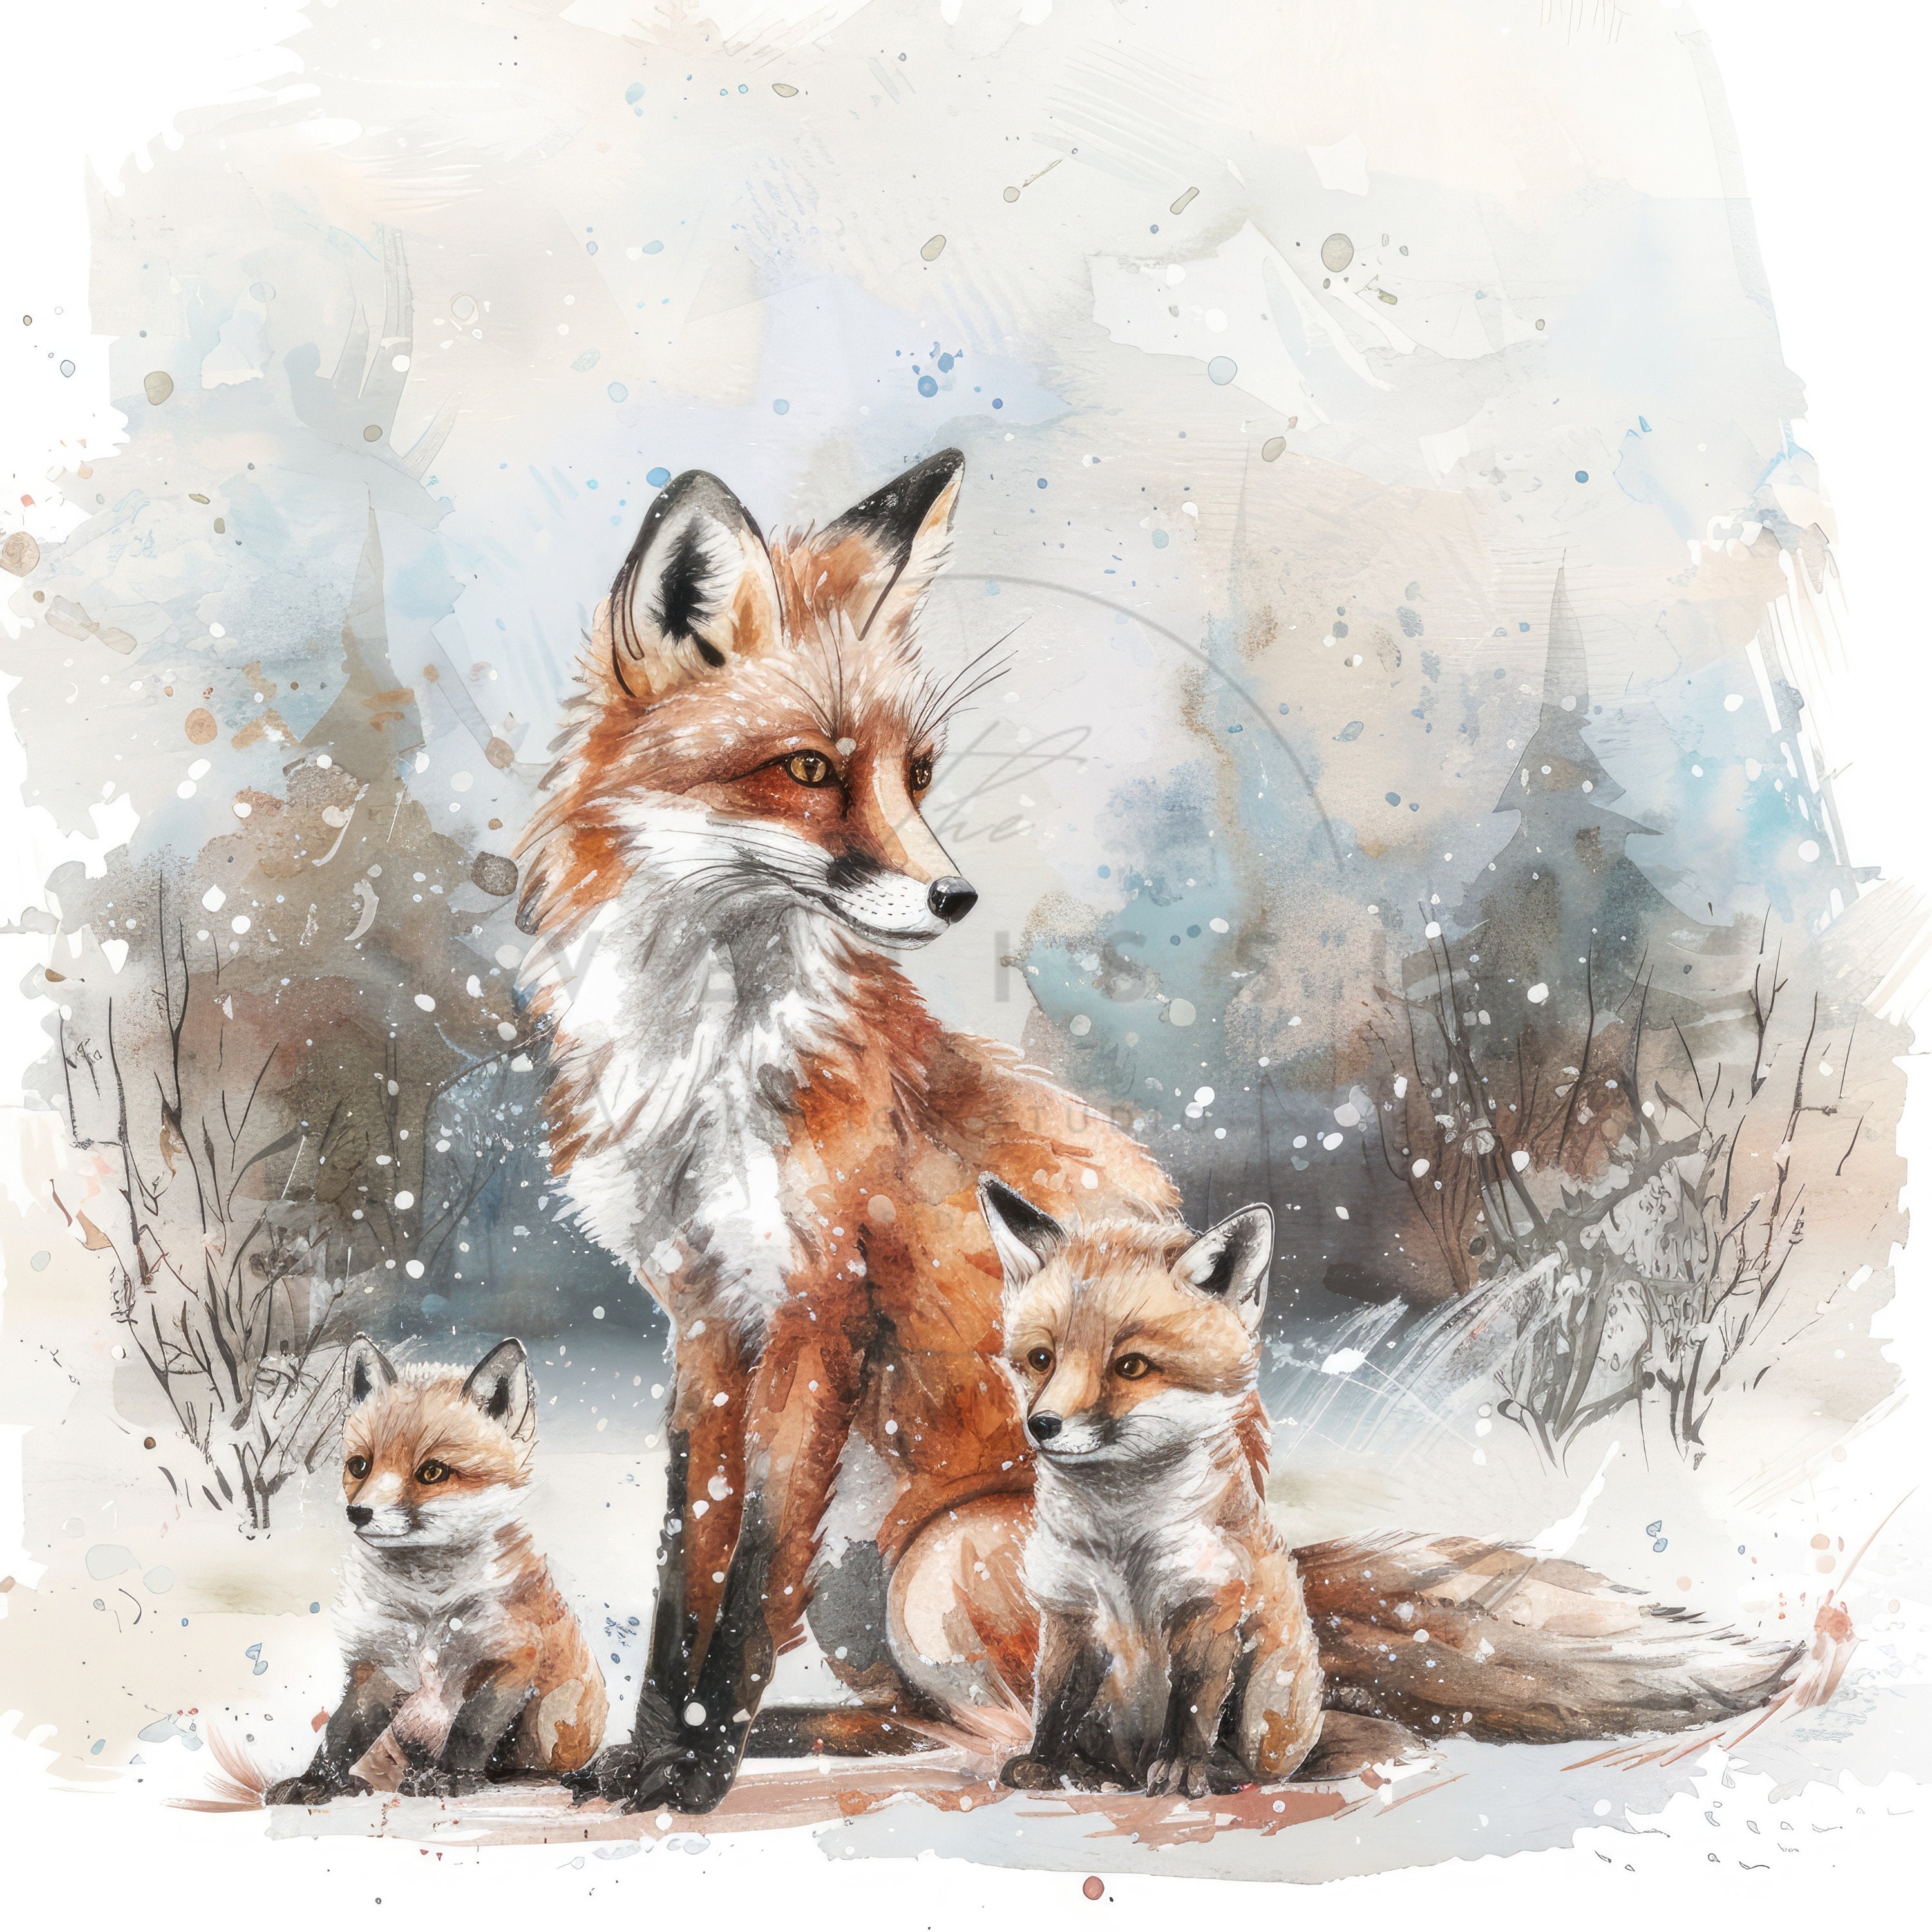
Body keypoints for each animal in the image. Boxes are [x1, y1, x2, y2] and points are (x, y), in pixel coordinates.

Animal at [264, 1337, 607, 1805]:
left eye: (432, 1472)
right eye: (359, 1466)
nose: (358, 1512)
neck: (427, 1604)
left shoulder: (515, 1653)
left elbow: (473, 1728)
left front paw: (456, 1777)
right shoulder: (379, 1665)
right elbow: (340, 1732)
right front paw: (317, 1781)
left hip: (553, 1713)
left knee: (541, 1766)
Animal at [516, 449, 1801, 1814]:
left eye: (918, 773)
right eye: (810, 769)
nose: (955, 895)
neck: (705, 1057)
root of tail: (1275, 1552)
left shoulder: (816, 1309)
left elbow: (748, 1586)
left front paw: (692, 1770)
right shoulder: (706, 1318)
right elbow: (686, 1572)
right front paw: (652, 1752)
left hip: (934, 1562)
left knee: (1018, 1722)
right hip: (874, 1593)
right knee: (924, 1720)